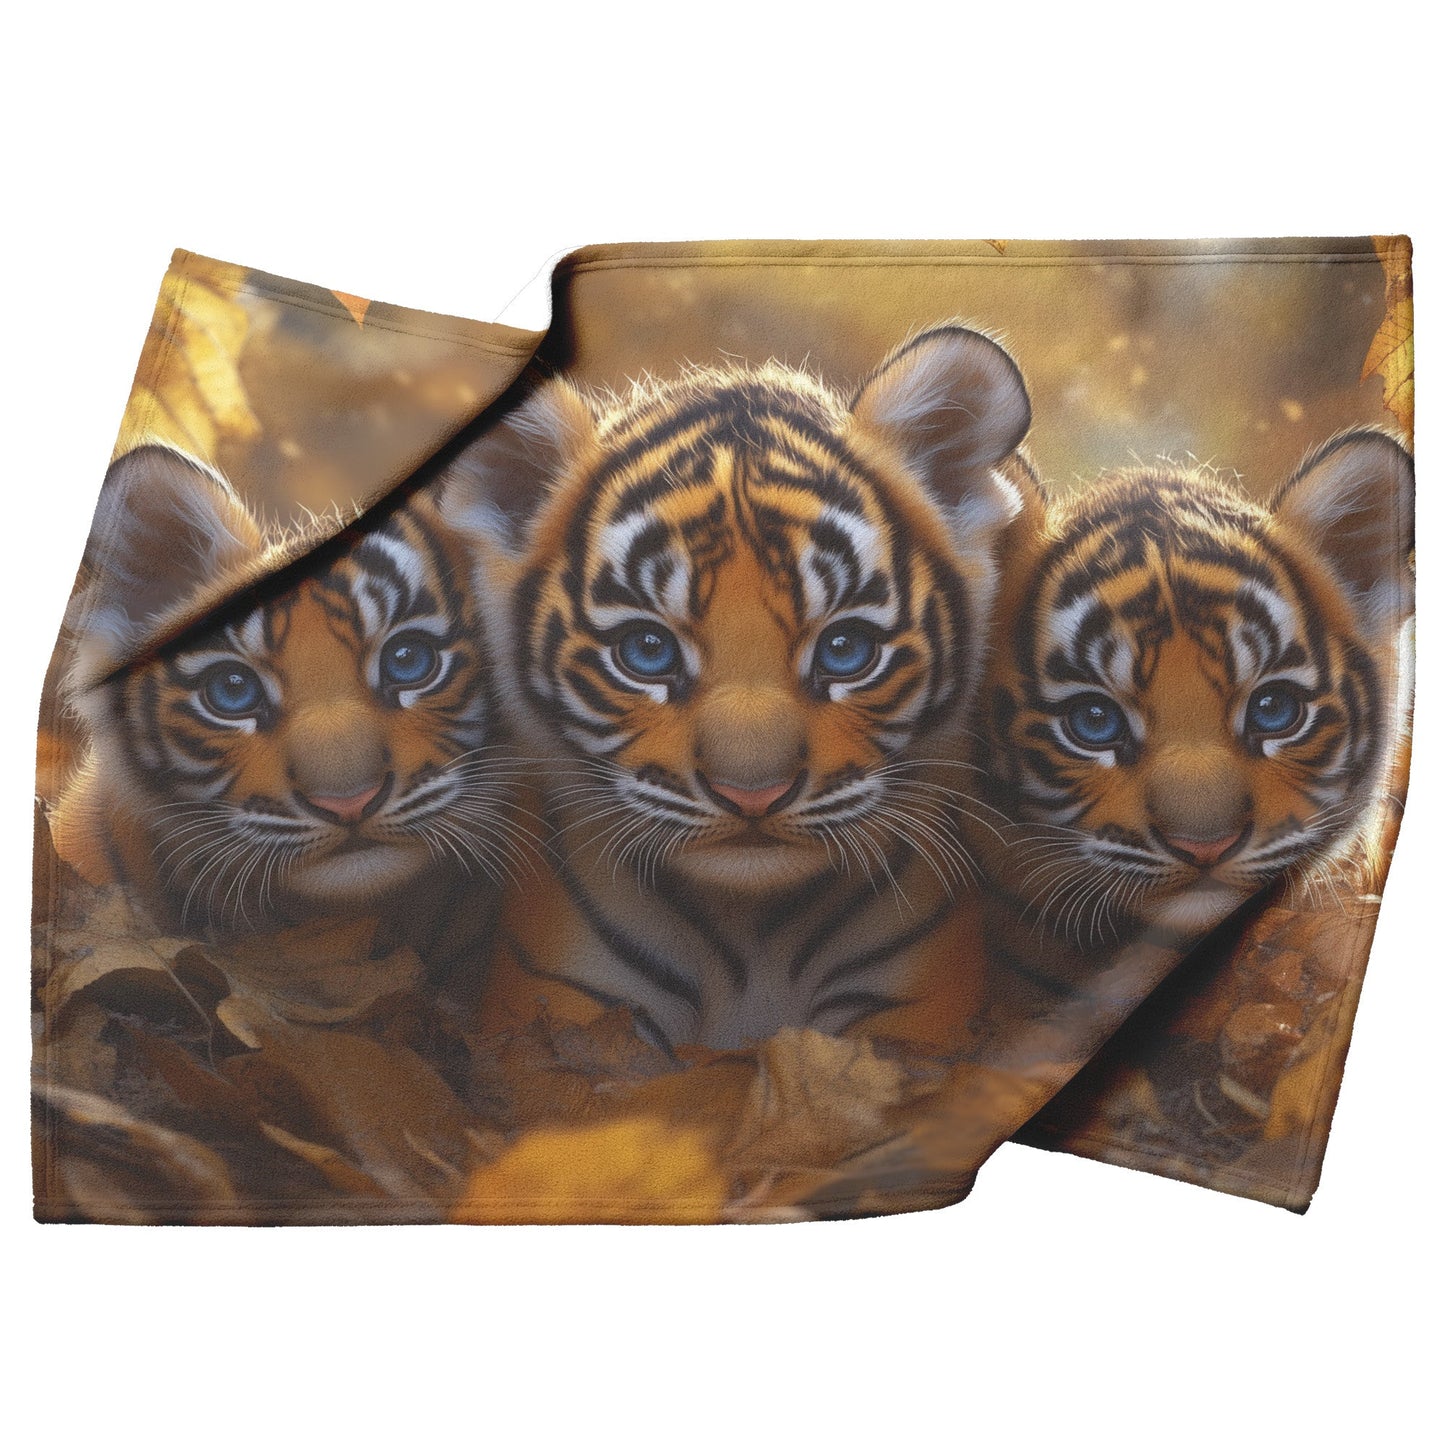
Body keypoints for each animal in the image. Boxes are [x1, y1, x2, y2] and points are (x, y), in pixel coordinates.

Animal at [439, 323, 1034, 1051]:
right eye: (646, 651)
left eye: (845, 650)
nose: (753, 794)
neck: (749, 926)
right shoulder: (565, 1004)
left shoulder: (913, 1007)